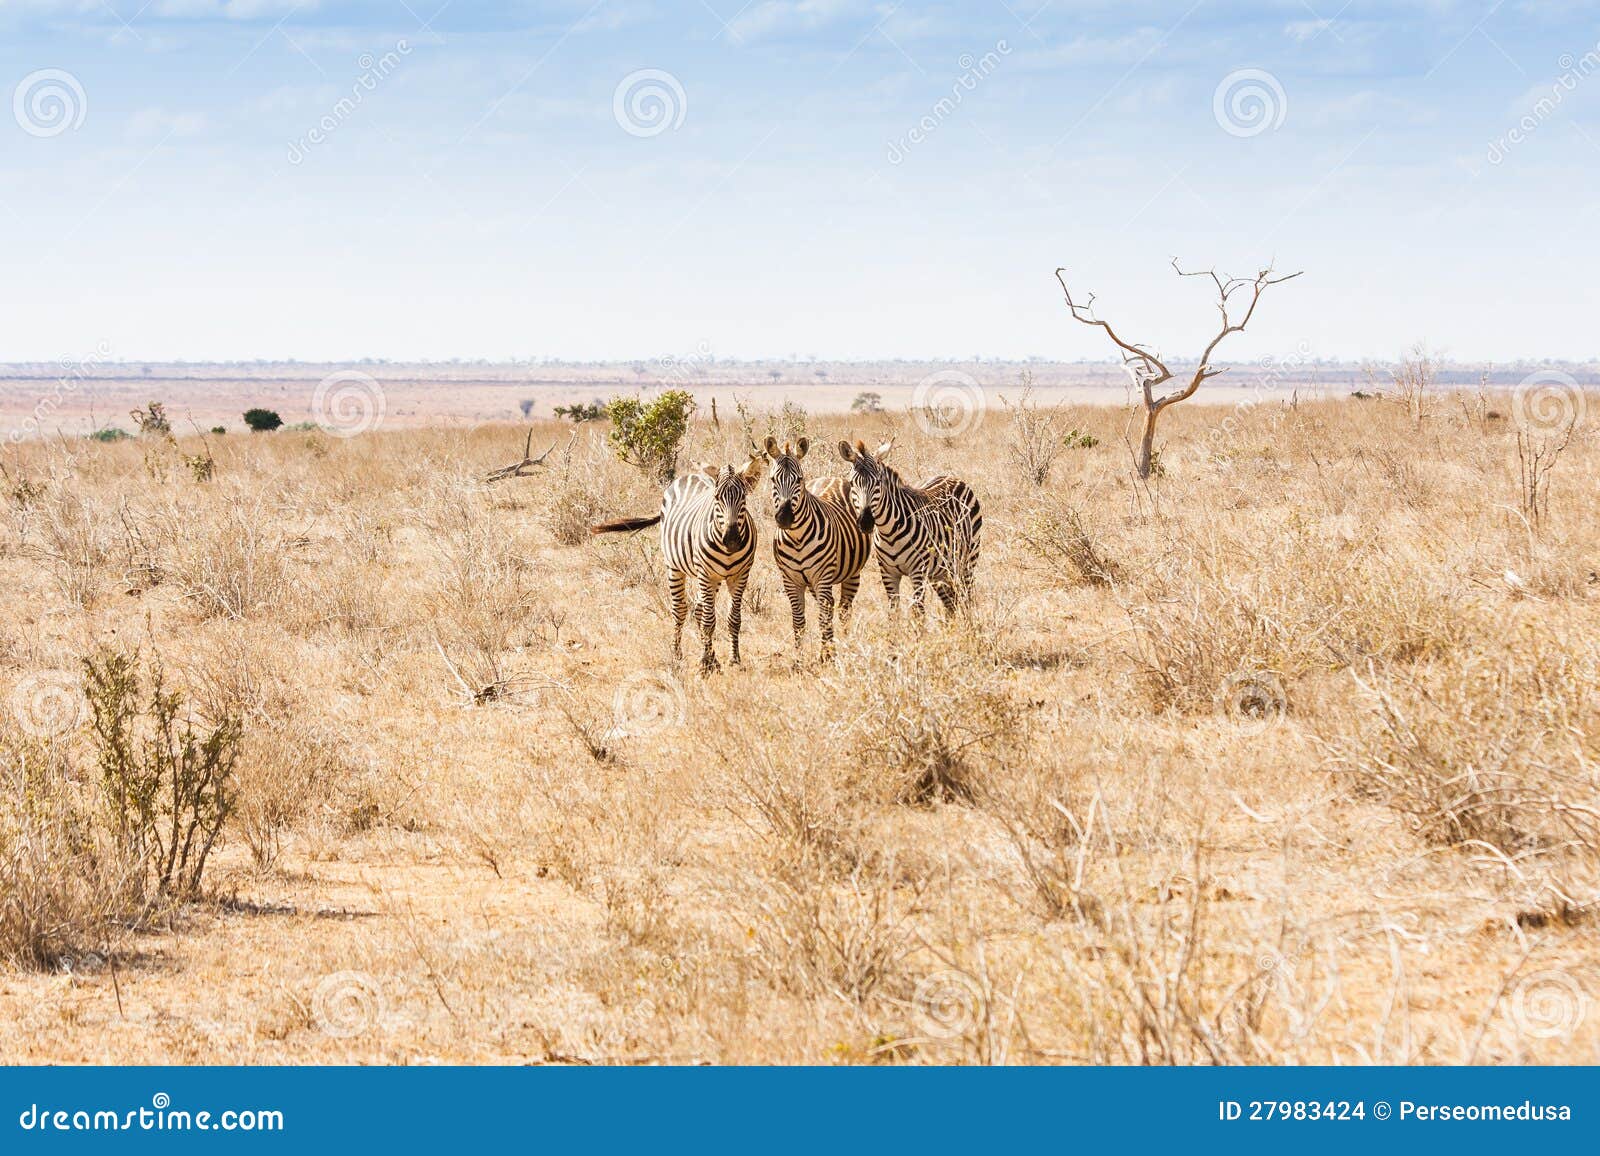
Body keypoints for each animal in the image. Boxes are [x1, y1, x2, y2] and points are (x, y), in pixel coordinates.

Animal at [591, 455, 765, 671]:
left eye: (743, 499)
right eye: (716, 498)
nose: (732, 539)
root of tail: (688, 475)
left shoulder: (740, 575)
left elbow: (734, 619)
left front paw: (733, 660)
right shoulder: (705, 573)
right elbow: (709, 621)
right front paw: (706, 665)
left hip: (712, 578)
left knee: (699, 609)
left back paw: (711, 656)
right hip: (676, 568)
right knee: (681, 610)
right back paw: (677, 654)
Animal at [764, 435, 872, 662]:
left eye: (799, 479)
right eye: (772, 480)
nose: (784, 518)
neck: (796, 538)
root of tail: (831, 477)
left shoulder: (822, 577)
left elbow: (824, 616)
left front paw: (827, 656)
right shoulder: (790, 580)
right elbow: (798, 621)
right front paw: (798, 660)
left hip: (850, 574)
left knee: (842, 609)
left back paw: (845, 643)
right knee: (830, 606)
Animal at [837, 438, 982, 615]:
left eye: (878, 482)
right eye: (852, 484)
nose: (865, 522)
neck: (889, 533)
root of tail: (951, 477)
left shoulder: (918, 571)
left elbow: (918, 610)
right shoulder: (887, 572)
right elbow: (893, 611)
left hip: (967, 559)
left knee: (967, 597)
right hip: (939, 570)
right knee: (951, 603)